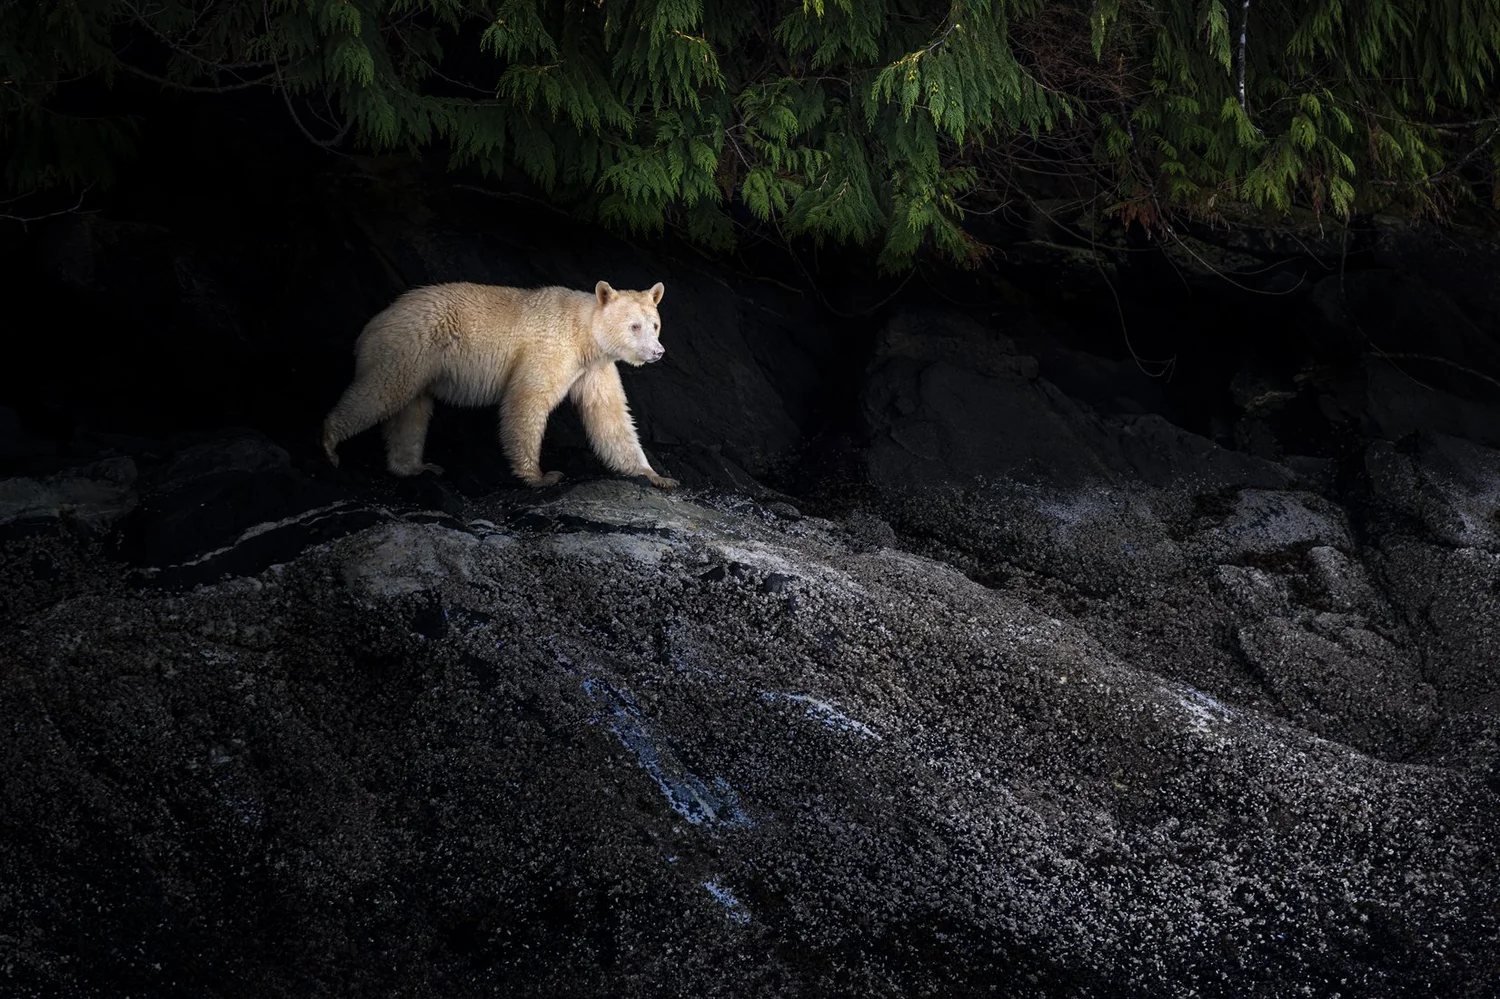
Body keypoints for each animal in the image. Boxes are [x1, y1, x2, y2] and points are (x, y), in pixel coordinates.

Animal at [321, 279, 678, 490]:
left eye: (655, 324)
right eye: (634, 326)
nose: (658, 352)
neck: (583, 330)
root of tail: (371, 327)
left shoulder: (593, 367)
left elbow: (610, 415)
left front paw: (656, 475)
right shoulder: (552, 347)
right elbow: (528, 398)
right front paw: (541, 476)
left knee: (412, 413)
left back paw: (415, 467)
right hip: (410, 345)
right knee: (383, 390)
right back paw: (330, 443)